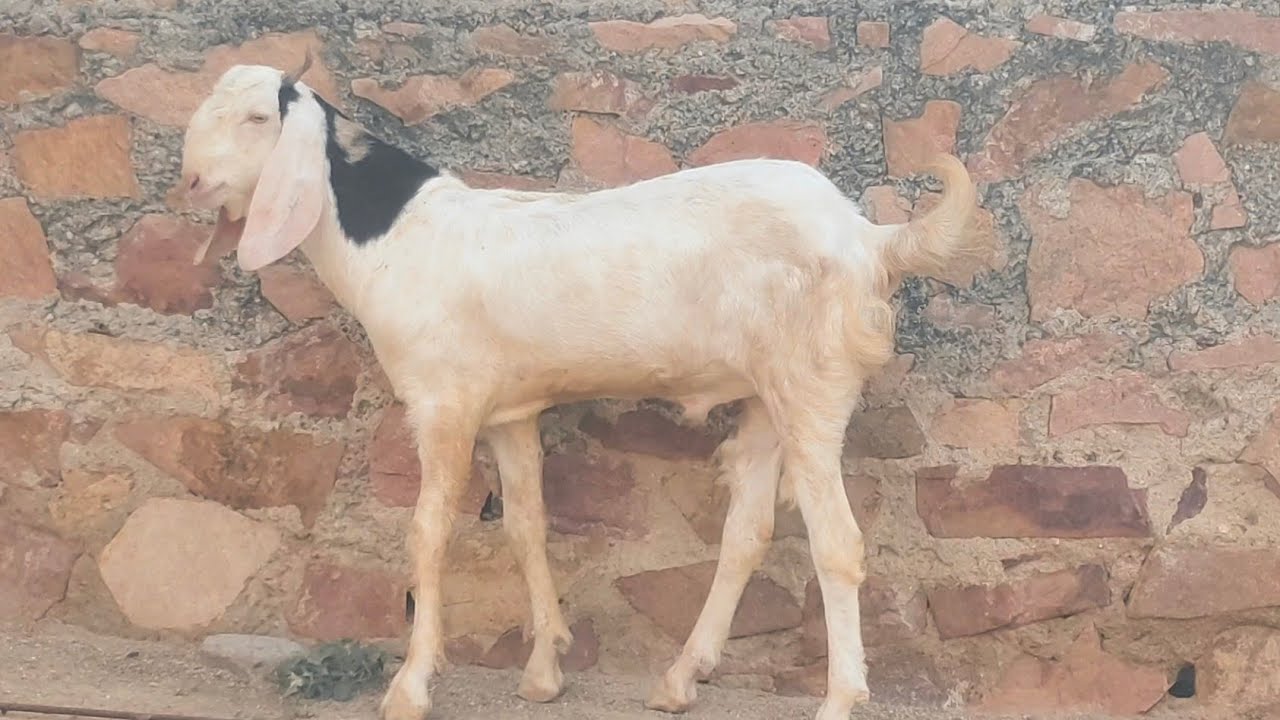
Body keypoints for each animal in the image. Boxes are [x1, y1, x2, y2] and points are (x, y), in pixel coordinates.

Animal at [179, 59, 977, 720]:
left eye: (258, 118)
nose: (190, 180)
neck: (397, 236)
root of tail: (868, 238)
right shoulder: (509, 412)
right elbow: (526, 525)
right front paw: (543, 672)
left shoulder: (443, 403)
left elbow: (429, 531)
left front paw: (410, 686)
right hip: (766, 395)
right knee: (747, 533)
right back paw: (679, 679)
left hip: (812, 384)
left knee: (837, 542)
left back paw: (837, 700)